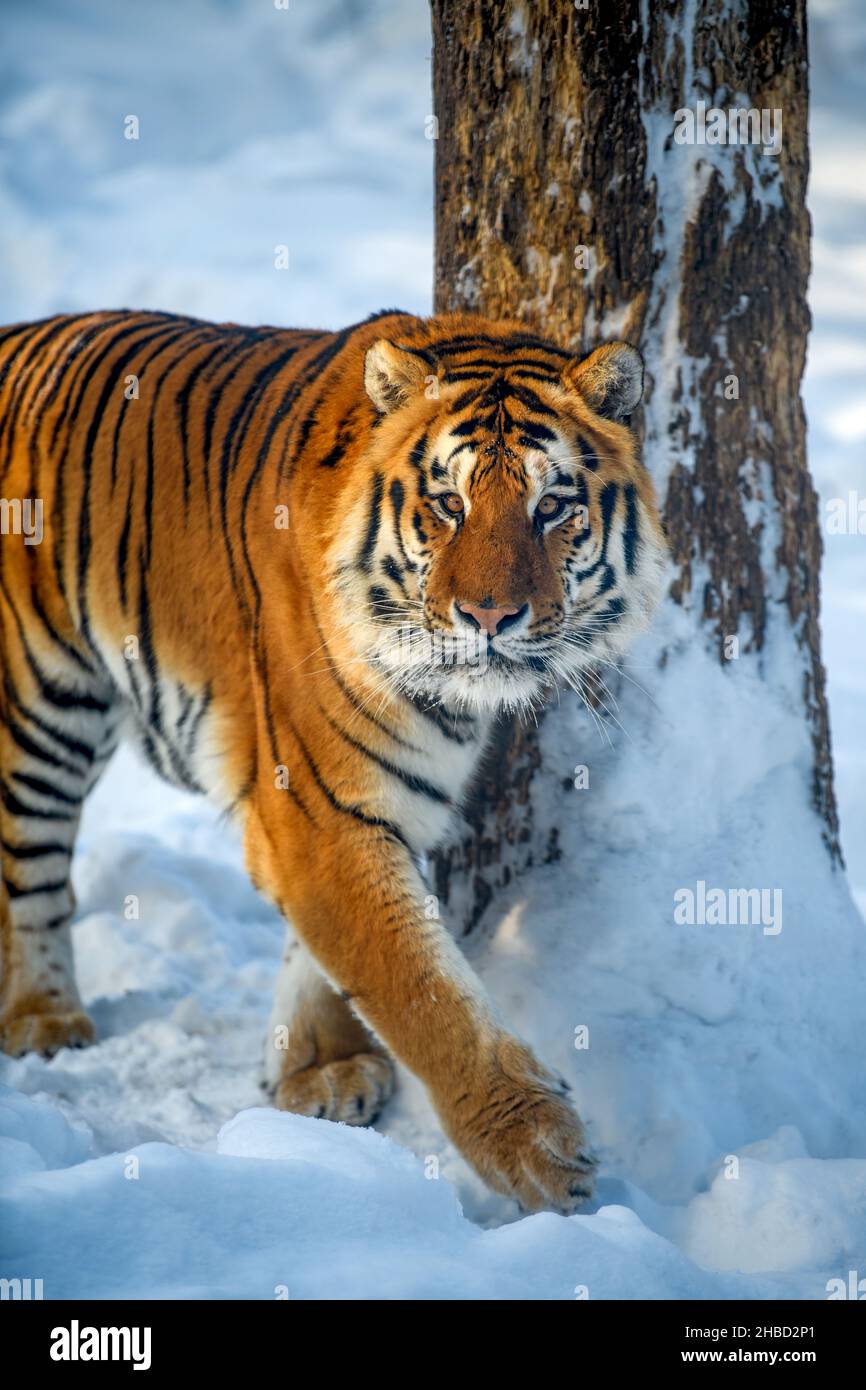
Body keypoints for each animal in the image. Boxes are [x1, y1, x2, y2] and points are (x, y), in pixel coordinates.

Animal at [0, 308, 666, 1213]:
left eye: (552, 505)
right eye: (449, 503)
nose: (490, 615)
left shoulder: (373, 802)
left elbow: (330, 956)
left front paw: (321, 1072)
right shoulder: (315, 805)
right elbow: (418, 986)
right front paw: (536, 1149)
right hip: (39, 702)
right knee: (28, 866)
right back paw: (43, 1023)